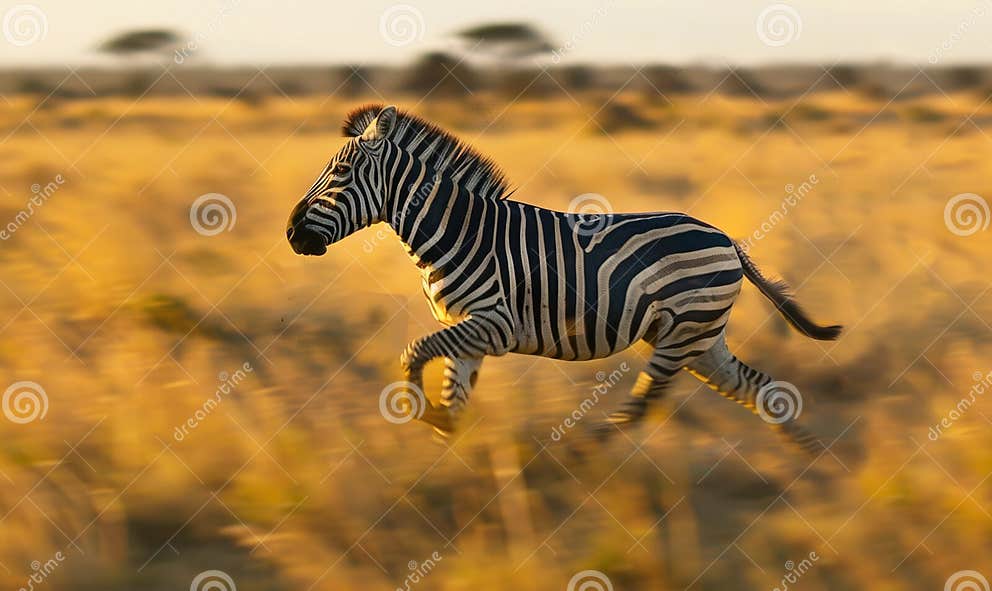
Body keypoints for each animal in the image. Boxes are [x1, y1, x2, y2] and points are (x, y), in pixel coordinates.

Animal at [286, 104, 842, 452]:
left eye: (340, 174)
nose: (291, 234)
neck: (455, 230)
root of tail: (726, 238)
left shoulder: (495, 324)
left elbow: (414, 351)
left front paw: (420, 411)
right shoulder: (469, 330)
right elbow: (454, 394)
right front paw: (450, 448)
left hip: (683, 333)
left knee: (646, 401)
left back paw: (579, 450)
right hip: (699, 338)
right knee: (756, 387)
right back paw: (810, 461)